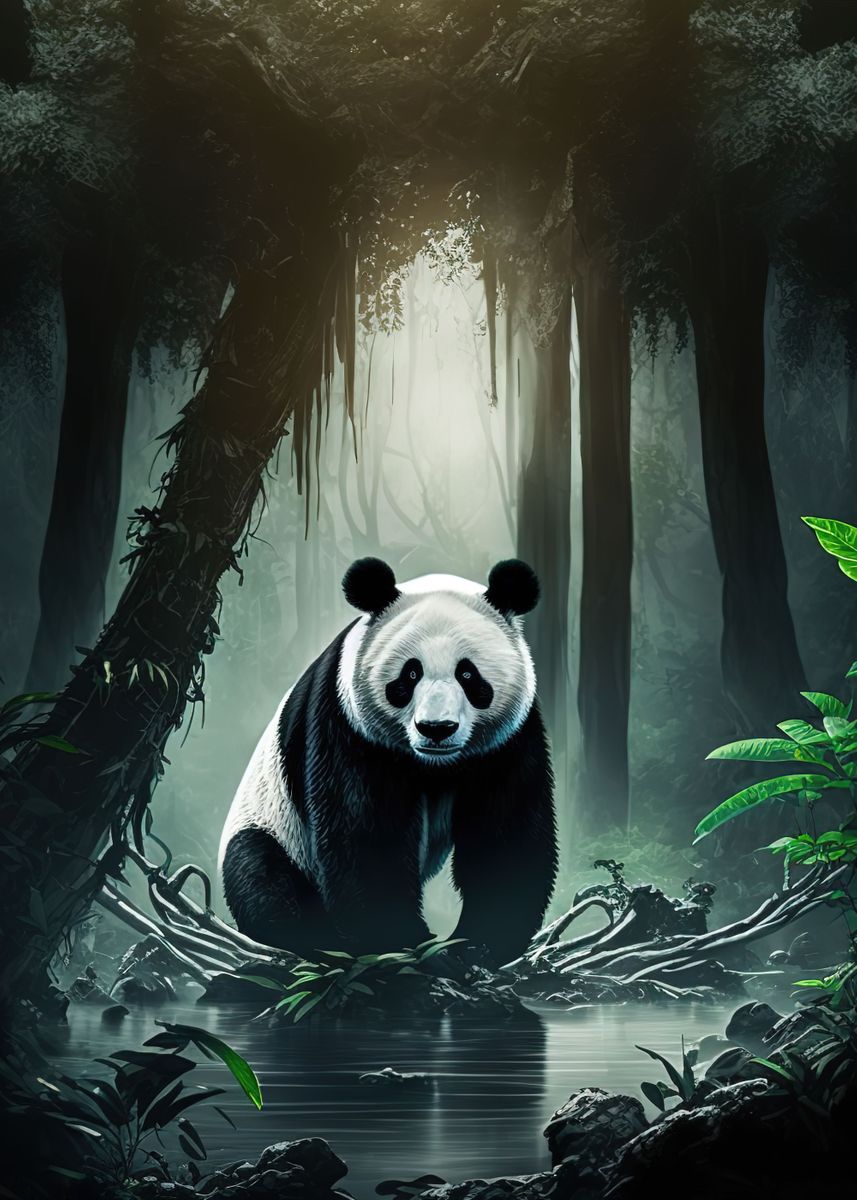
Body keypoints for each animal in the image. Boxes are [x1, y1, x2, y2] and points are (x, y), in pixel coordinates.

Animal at [218, 556, 558, 967]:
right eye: (410, 674)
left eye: (468, 674)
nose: (436, 728)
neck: (434, 765)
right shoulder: (350, 728)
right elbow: (369, 840)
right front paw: (411, 947)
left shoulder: (507, 742)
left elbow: (505, 838)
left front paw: (479, 944)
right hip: (272, 825)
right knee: (263, 876)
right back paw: (320, 940)